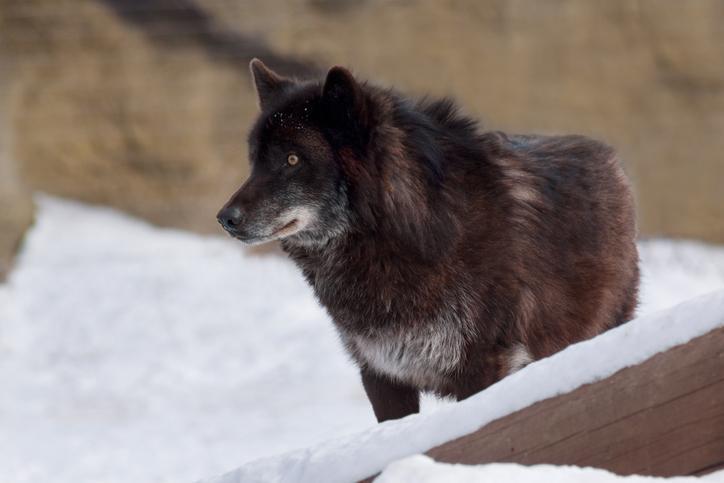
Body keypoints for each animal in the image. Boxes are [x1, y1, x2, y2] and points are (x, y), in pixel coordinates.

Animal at [217, 59, 639, 422]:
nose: (225, 219)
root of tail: (610, 157)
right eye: (254, 159)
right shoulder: (381, 374)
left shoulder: (481, 368)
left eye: (292, 159)